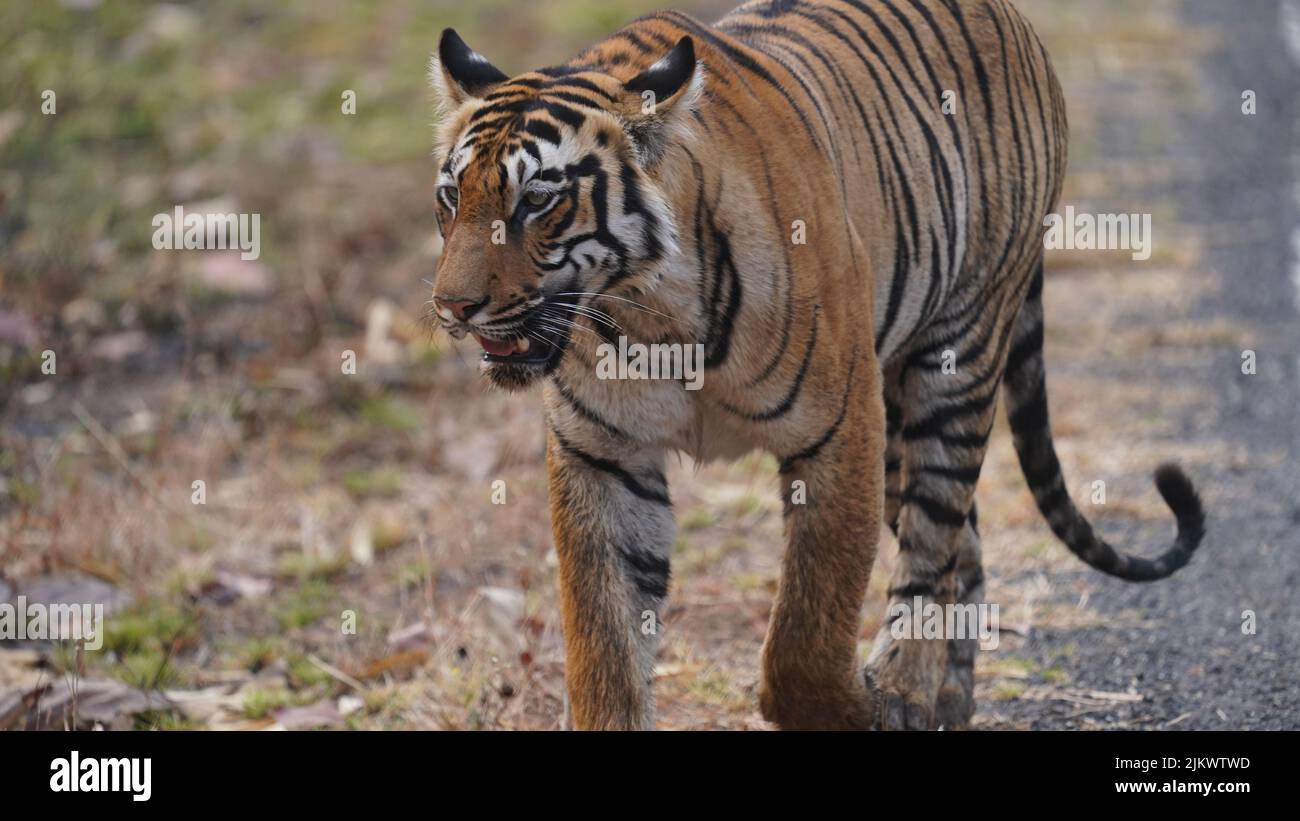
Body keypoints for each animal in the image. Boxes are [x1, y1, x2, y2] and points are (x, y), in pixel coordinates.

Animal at [427, 0, 1206, 730]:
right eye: (451, 196)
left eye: (537, 200)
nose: (451, 306)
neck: (650, 311)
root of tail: (1013, 20)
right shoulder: (602, 455)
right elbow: (605, 644)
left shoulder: (838, 430)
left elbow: (806, 634)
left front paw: (862, 704)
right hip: (895, 409)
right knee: (963, 545)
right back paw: (946, 694)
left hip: (957, 355)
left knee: (933, 540)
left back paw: (905, 687)